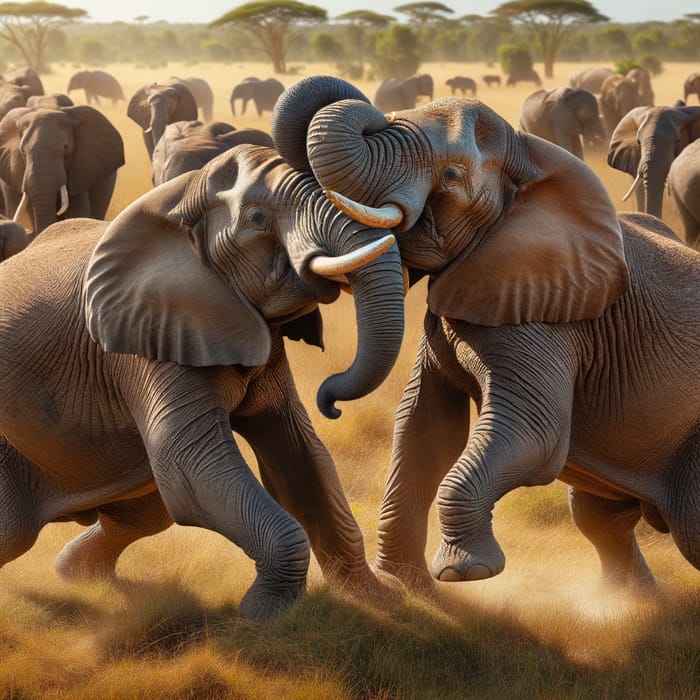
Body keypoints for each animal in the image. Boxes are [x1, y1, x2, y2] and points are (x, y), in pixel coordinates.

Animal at [0, 143, 408, 621]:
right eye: (257, 219)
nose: (332, 401)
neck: (185, 198)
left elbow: (299, 454)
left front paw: (385, 597)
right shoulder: (147, 342)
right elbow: (190, 465)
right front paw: (263, 613)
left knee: (144, 514)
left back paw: (77, 577)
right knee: (17, 532)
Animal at [271, 75, 700, 593]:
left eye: (453, 176)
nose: (329, 404)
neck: (532, 158)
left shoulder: (548, 317)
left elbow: (535, 435)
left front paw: (463, 573)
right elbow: (425, 427)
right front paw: (406, 584)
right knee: (600, 516)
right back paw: (633, 603)